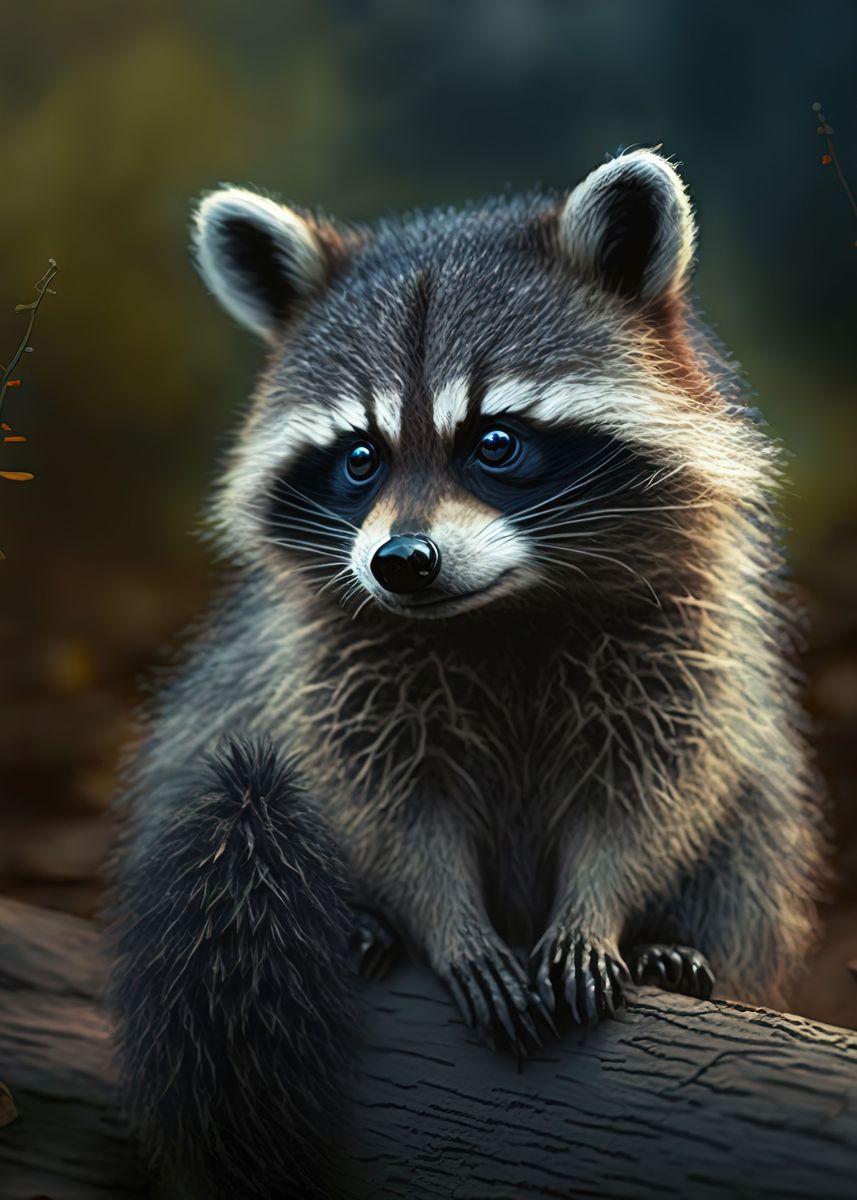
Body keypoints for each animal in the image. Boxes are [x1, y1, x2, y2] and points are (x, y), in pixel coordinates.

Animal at [108, 149, 825, 1199]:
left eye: (495, 442)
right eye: (358, 458)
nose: (400, 563)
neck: (498, 611)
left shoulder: (685, 639)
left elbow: (654, 789)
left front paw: (599, 909)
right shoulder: (334, 660)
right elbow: (388, 804)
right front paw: (446, 922)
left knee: (755, 823)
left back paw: (682, 945)